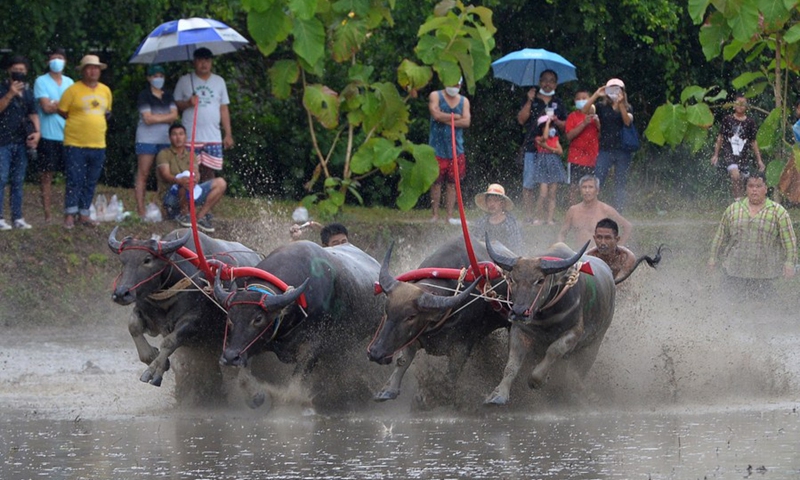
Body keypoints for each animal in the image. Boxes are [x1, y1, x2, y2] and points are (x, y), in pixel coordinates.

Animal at [109, 227, 263, 389]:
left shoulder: (192, 321)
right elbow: (133, 326)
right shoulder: (144, 310)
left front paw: (154, 372)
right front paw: (153, 356)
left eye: (147, 260)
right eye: (123, 261)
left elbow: (169, 341)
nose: (121, 293)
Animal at [213, 240, 384, 410]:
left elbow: (293, 389)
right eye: (230, 317)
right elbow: (242, 377)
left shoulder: (312, 348)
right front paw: (256, 396)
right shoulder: (257, 344)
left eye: (258, 318)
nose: (230, 357)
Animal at [367, 237, 512, 409]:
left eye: (411, 316)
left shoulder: (462, 345)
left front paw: (437, 397)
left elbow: (452, 372)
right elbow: (403, 361)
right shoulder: (416, 336)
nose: (375, 352)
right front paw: (387, 390)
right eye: (387, 309)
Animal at [484, 238, 615, 406]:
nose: (519, 312)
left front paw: (537, 380)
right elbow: (512, 364)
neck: (545, 316)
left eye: (540, 280)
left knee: (580, 370)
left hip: (593, 345)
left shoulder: (575, 332)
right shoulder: (519, 330)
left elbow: (554, 350)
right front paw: (498, 394)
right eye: (512, 279)